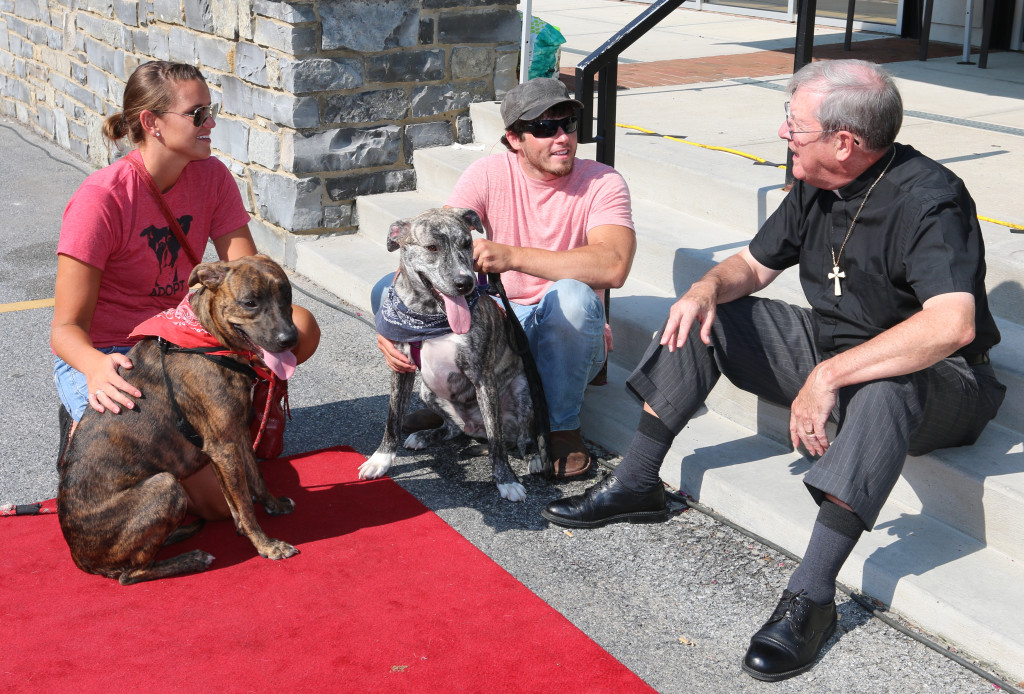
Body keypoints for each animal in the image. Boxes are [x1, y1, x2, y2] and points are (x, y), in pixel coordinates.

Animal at [56, 255, 299, 585]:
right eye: (250, 302)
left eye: (286, 294)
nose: (290, 339)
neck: (208, 339)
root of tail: (79, 557)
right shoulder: (223, 446)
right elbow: (245, 505)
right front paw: (266, 545)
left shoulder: (236, 435)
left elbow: (254, 481)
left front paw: (271, 506)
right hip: (166, 485)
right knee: (130, 574)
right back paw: (190, 558)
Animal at [364, 206, 548, 499]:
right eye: (431, 247)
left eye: (466, 243)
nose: (466, 283)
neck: (429, 315)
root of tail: (475, 428)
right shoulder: (401, 368)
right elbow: (392, 418)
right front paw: (381, 459)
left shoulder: (483, 378)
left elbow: (497, 441)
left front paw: (506, 480)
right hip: (427, 391)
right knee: (453, 429)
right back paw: (426, 435)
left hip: (524, 389)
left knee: (520, 437)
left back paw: (537, 458)